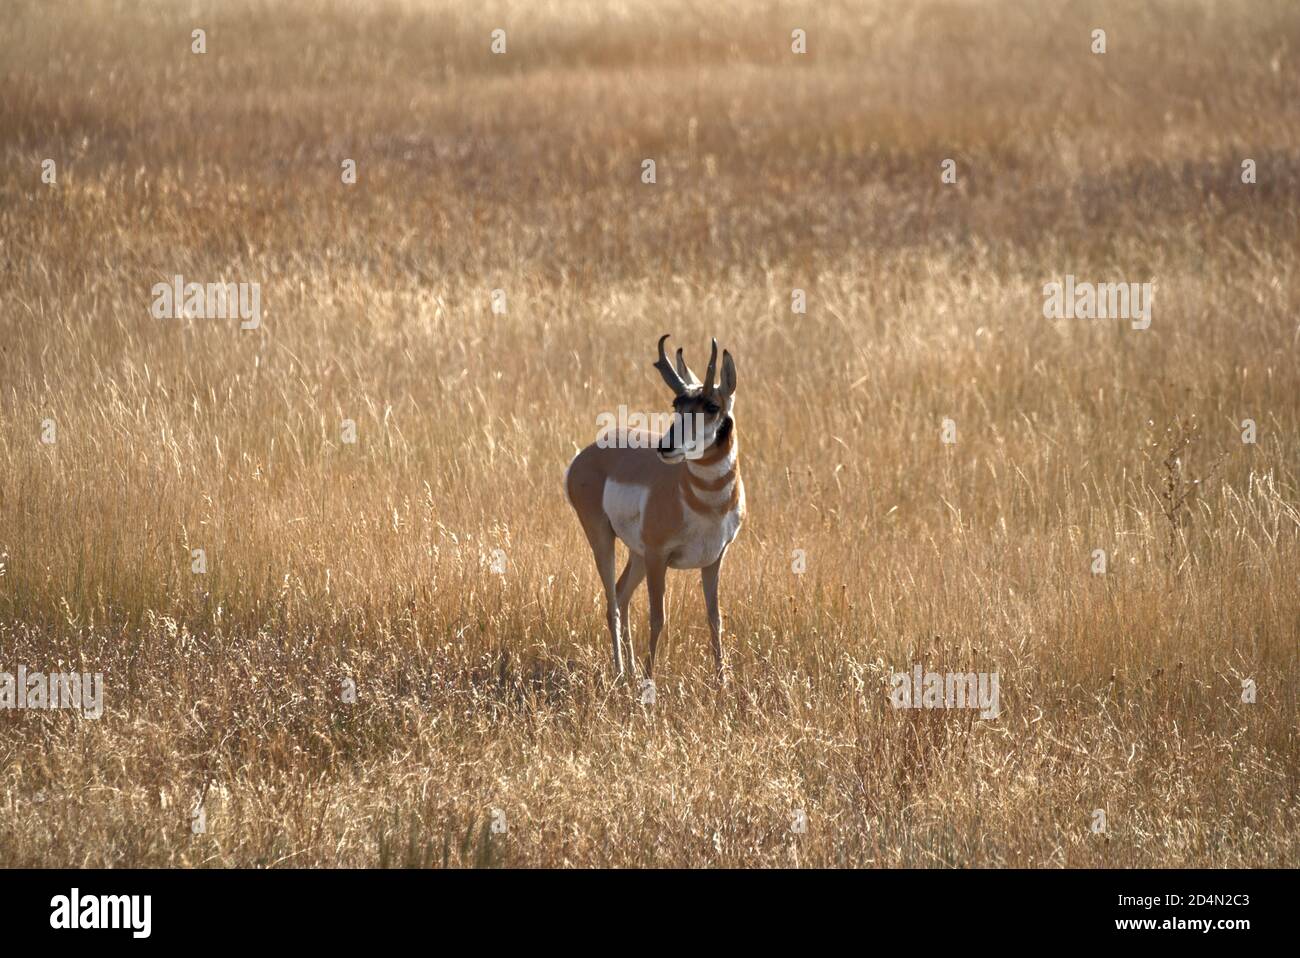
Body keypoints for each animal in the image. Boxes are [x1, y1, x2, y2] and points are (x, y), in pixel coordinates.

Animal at [564, 334, 745, 681]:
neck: (704, 504)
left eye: (711, 406)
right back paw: (622, 672)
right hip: (605, 540)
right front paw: (650, 680)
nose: (666, 446)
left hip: (637, 554)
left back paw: (631, 671)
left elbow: (715, 619)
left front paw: (723, 681)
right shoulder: (659, 557)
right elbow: (658, 618)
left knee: (621, 594)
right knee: (612, 602)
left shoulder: (714, 559)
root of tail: (585, 455)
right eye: (677, 404)